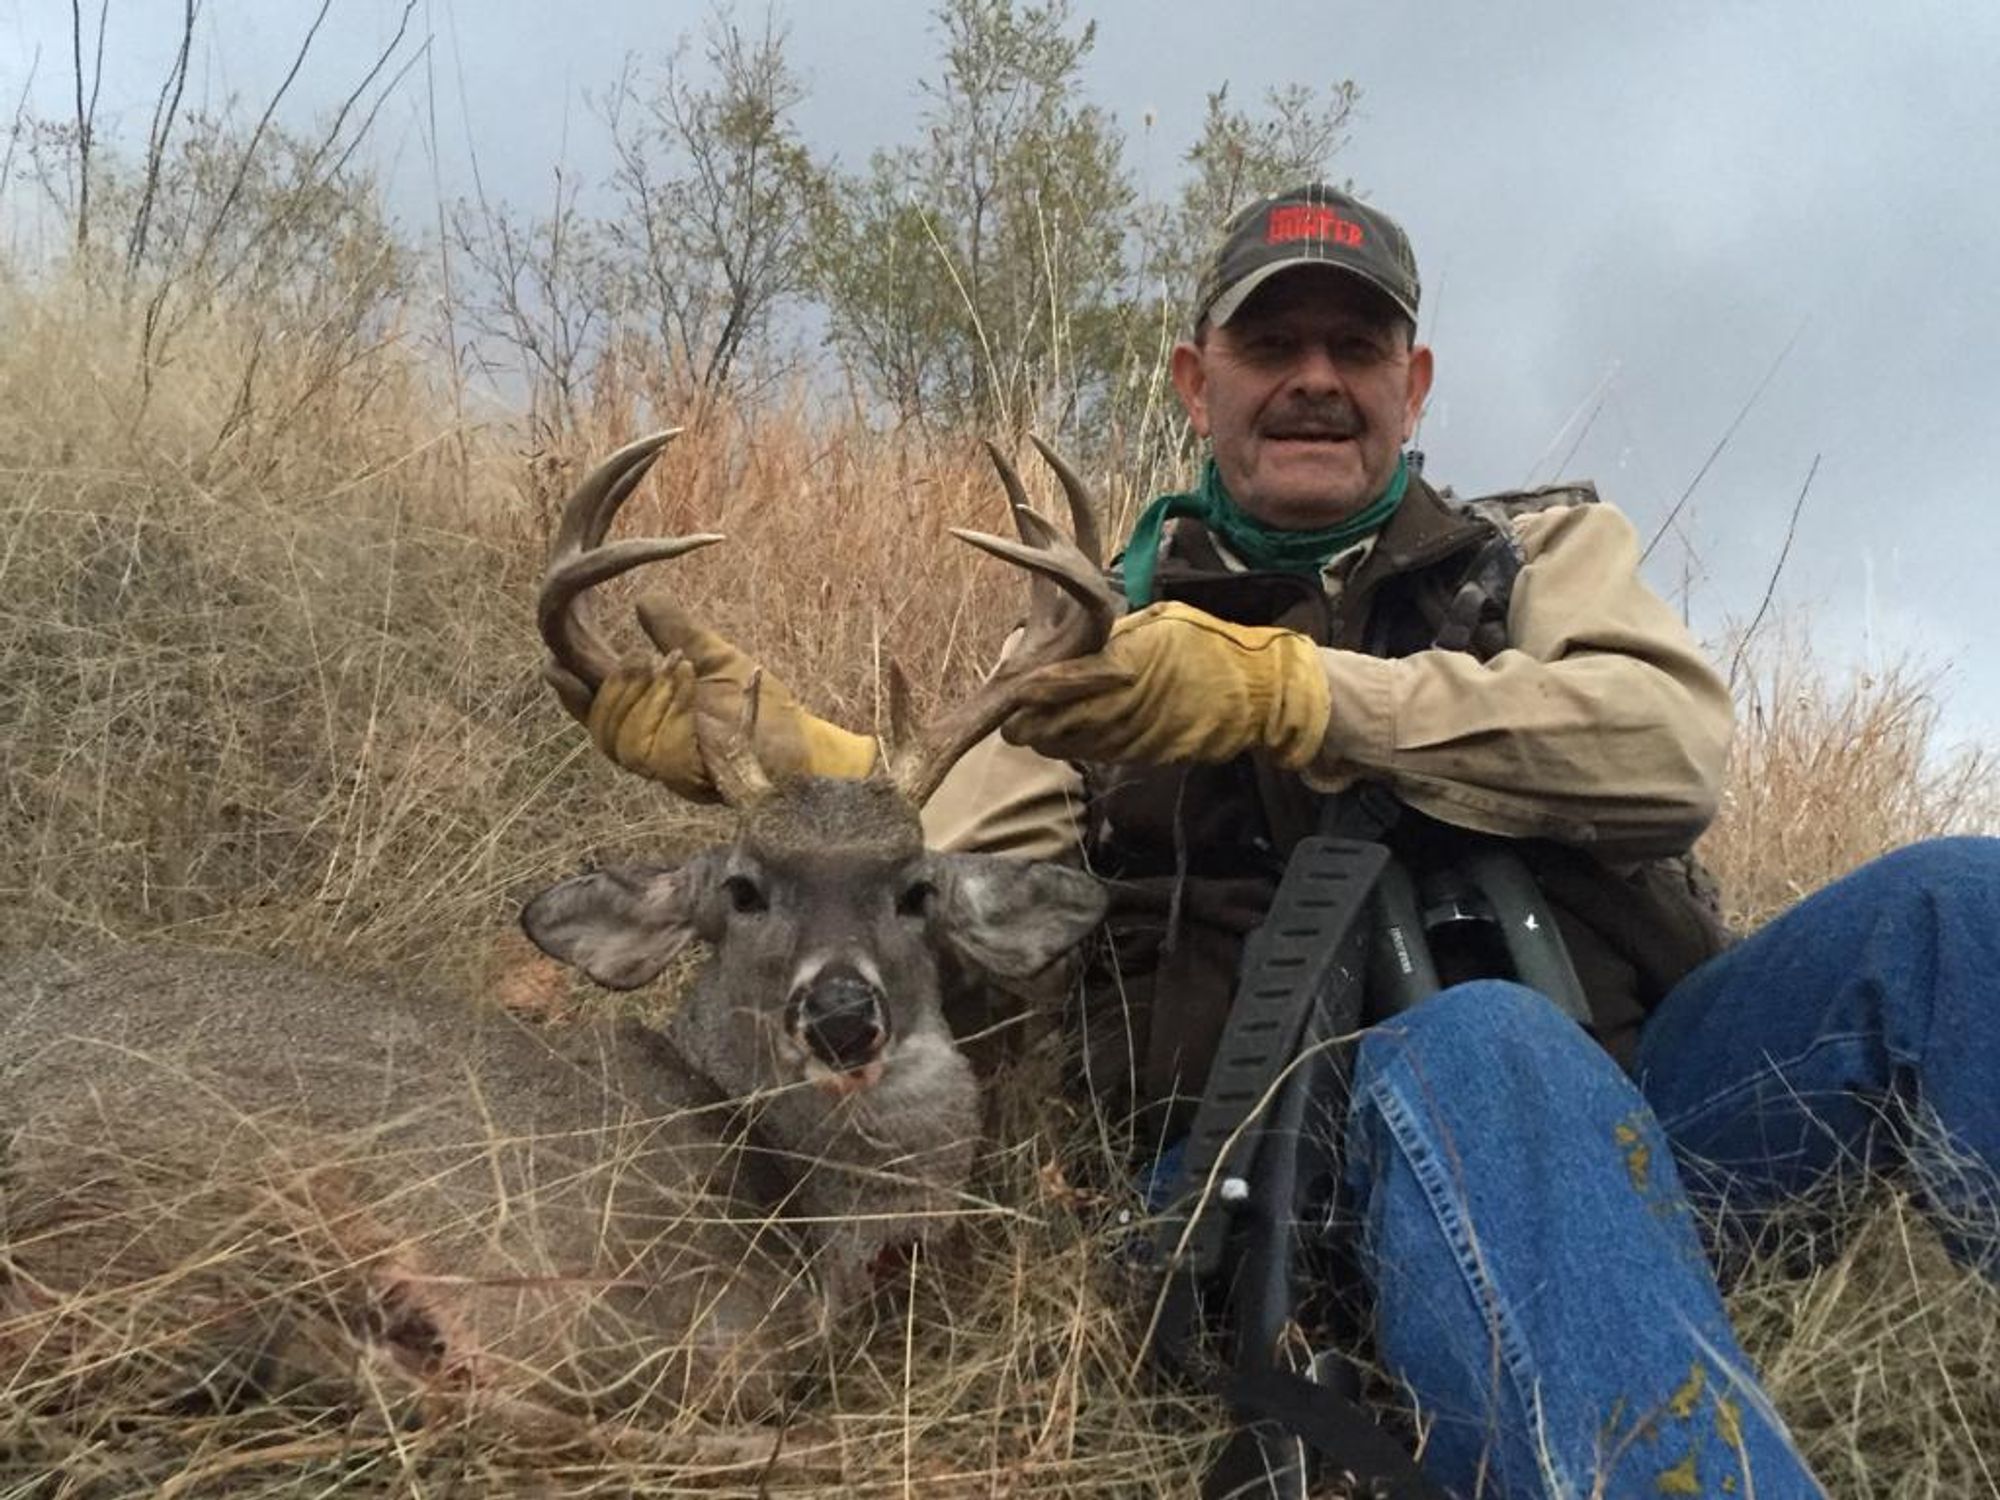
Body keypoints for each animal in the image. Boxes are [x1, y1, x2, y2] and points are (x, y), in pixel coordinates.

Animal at [0, 430, 1117, 1434]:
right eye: (743, 889)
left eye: (916, 889)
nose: (842, 1016)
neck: (802, 1204)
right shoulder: (578, 1294)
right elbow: (715, 1380)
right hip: (197, 1183)